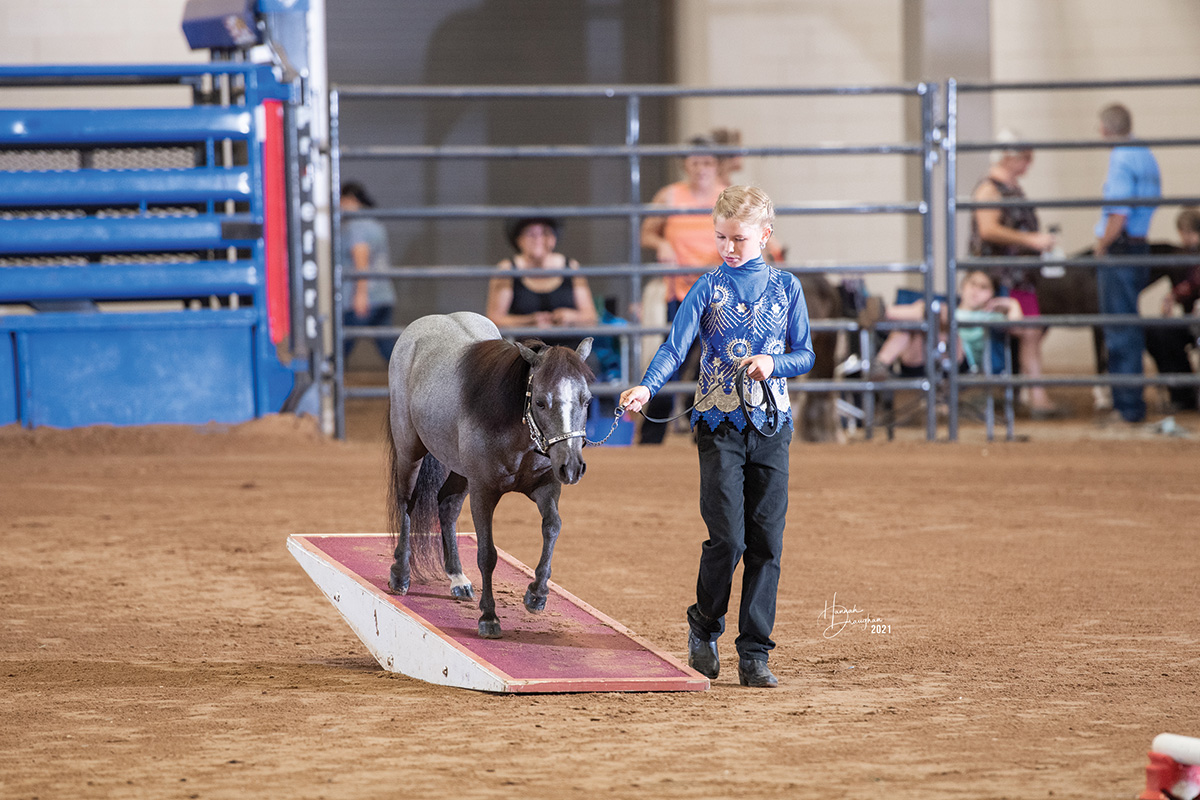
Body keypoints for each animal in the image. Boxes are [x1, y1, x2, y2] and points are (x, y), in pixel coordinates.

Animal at [385, 311, 594, 639]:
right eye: (540, 402)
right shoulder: (483, 492)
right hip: (410, 451)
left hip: (460, 470)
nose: (572, 467)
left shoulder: (546, 486)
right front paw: (489, 617)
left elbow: (552, 527)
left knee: (447, 505)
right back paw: (400, 576)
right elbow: (487, 553)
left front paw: (536, 595)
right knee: (407, 503)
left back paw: (457, 578)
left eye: (586, 400)